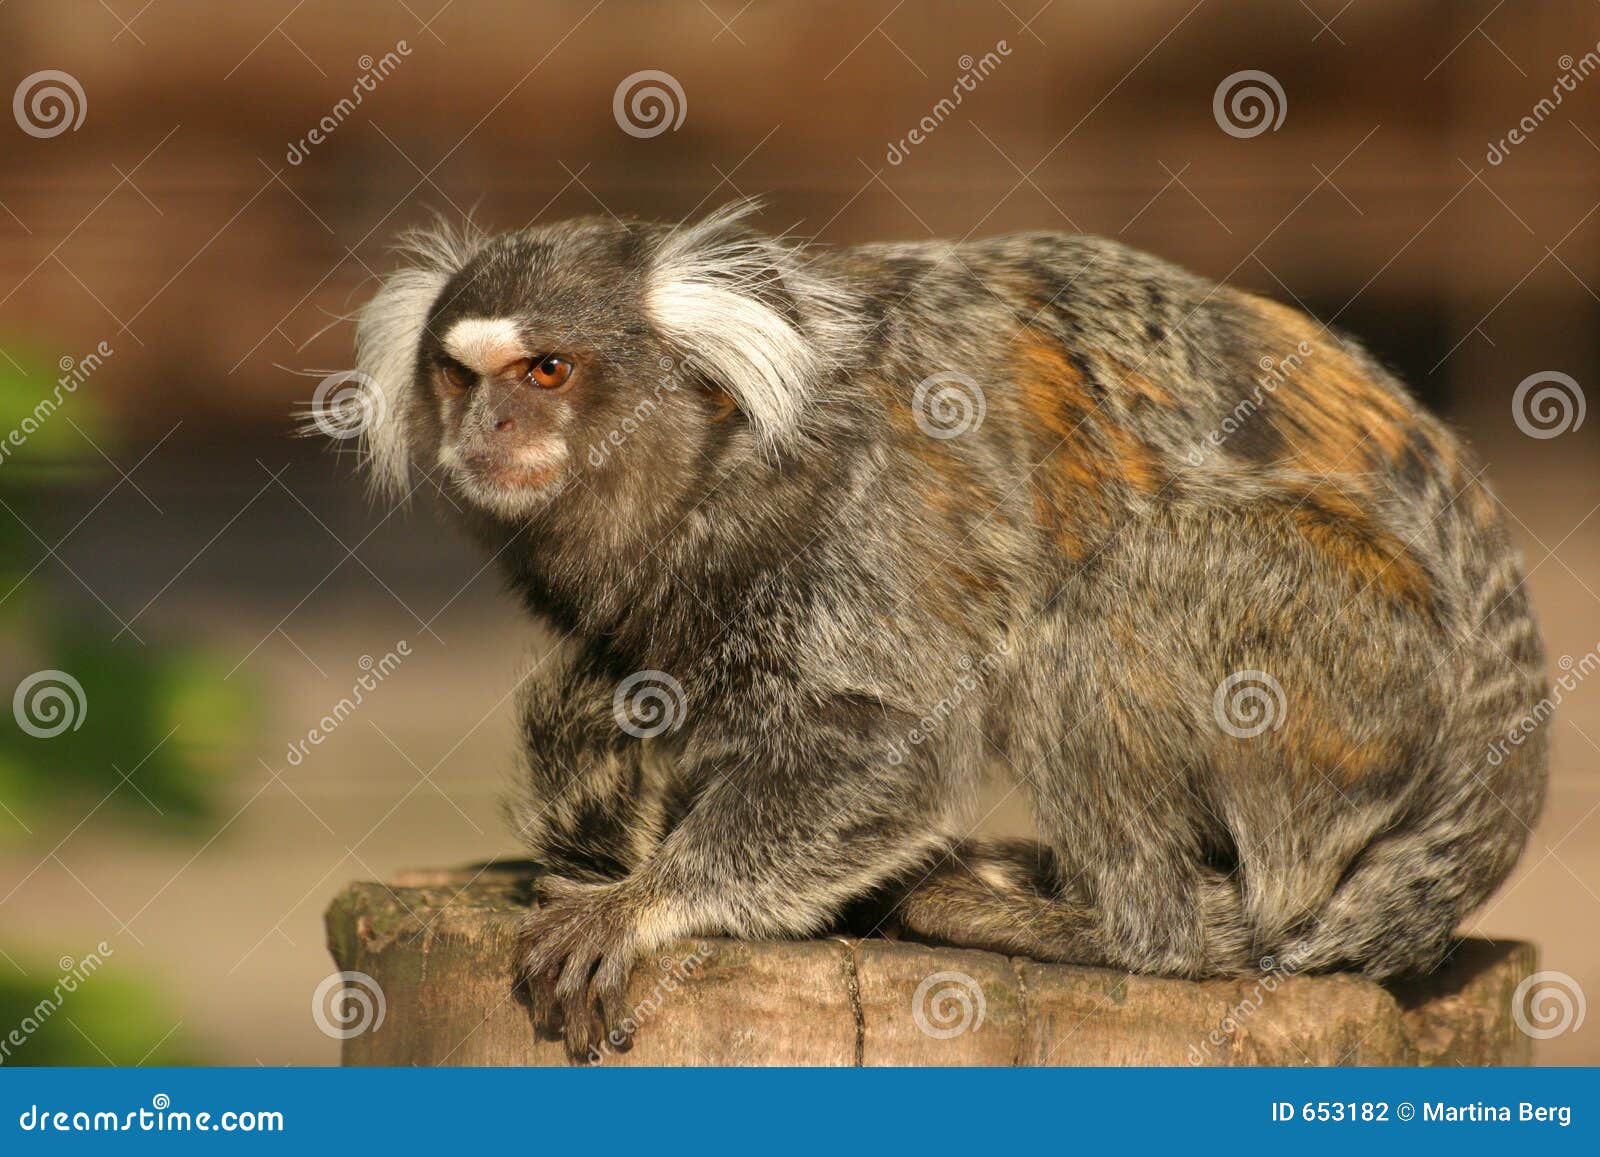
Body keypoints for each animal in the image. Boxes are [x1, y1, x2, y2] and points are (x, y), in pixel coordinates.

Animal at [347, 201, 1547, 1063]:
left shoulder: (871, 504)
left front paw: (646, 901)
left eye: (545, 369)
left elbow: (898, 742)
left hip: (1349, 664)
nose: (491, 425)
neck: (724, 459)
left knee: (1107, 606)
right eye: (460, 375)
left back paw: (1097, 926)